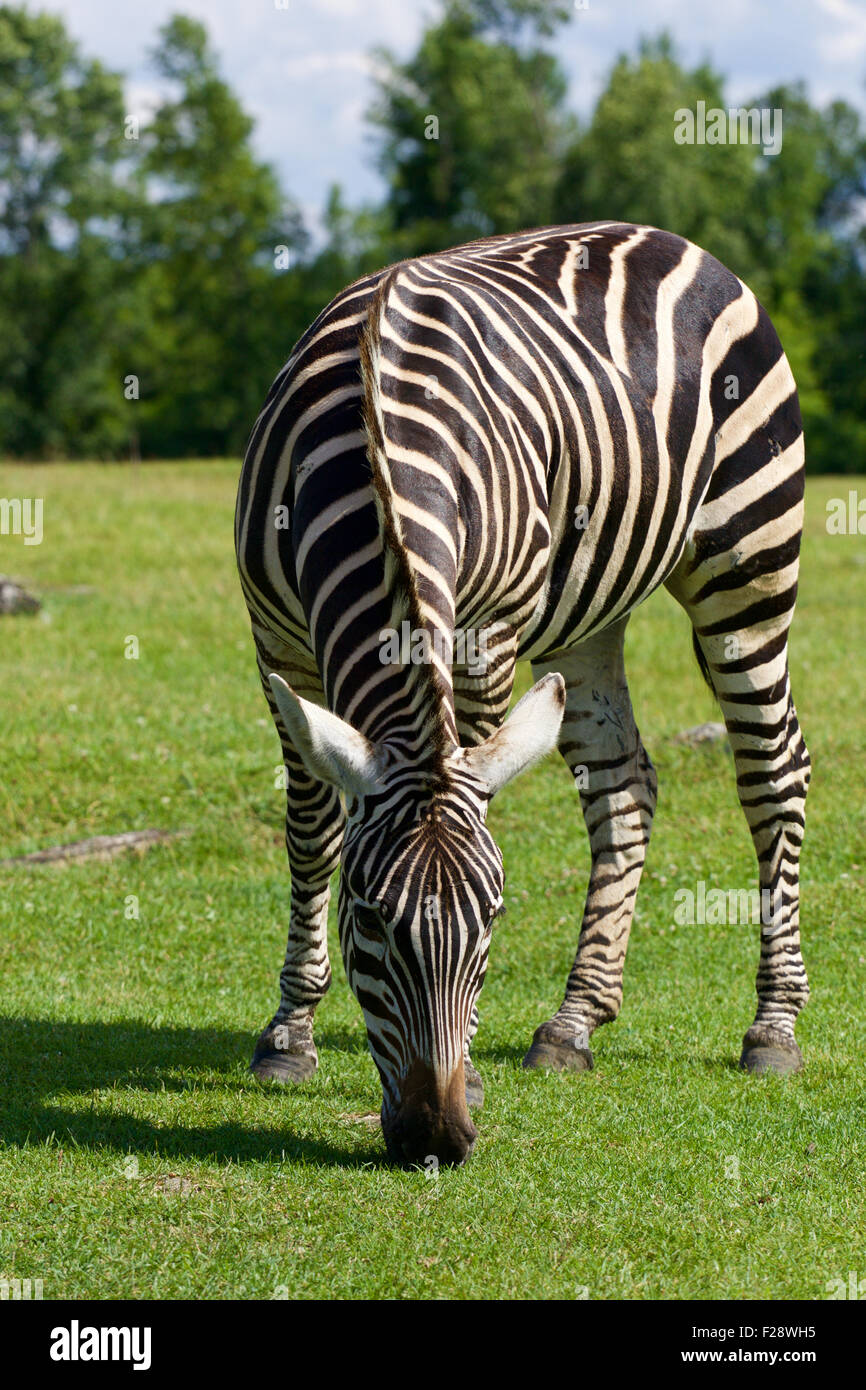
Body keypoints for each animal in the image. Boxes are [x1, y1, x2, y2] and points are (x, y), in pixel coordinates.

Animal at [235, 221, 811, 1167]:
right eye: (370, 919)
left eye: (493, 921)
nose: (437, 1138)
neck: (375, 443)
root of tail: (672, 237)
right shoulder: (274, 639)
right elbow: (312, 833)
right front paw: (289, 1034)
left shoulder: (489, 632)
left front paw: (463, 1070)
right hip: (587, 616)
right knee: (624, 785)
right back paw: (573, 1022)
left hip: (749, 563)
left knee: (775, 771)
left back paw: (774, 1027)